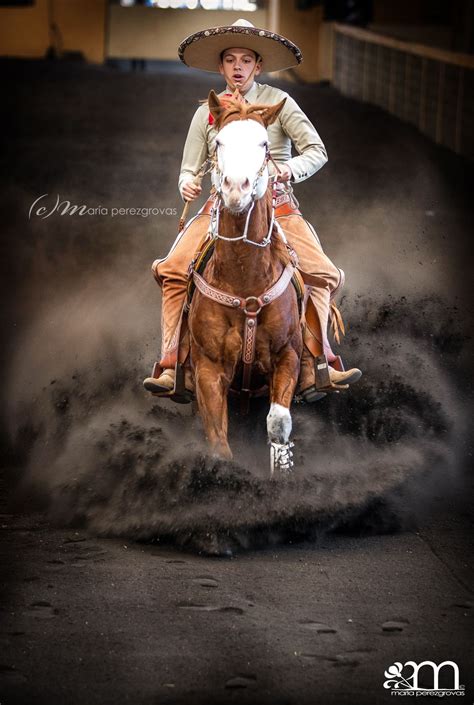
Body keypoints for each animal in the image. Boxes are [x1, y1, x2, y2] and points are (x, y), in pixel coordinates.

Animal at [187, 91, 303, 474]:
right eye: (219, 142)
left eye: (264, 143)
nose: (236, 188)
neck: (245, 285)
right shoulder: (208, 367)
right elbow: (217, 439)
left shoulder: (288, 354)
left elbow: (278, 423)